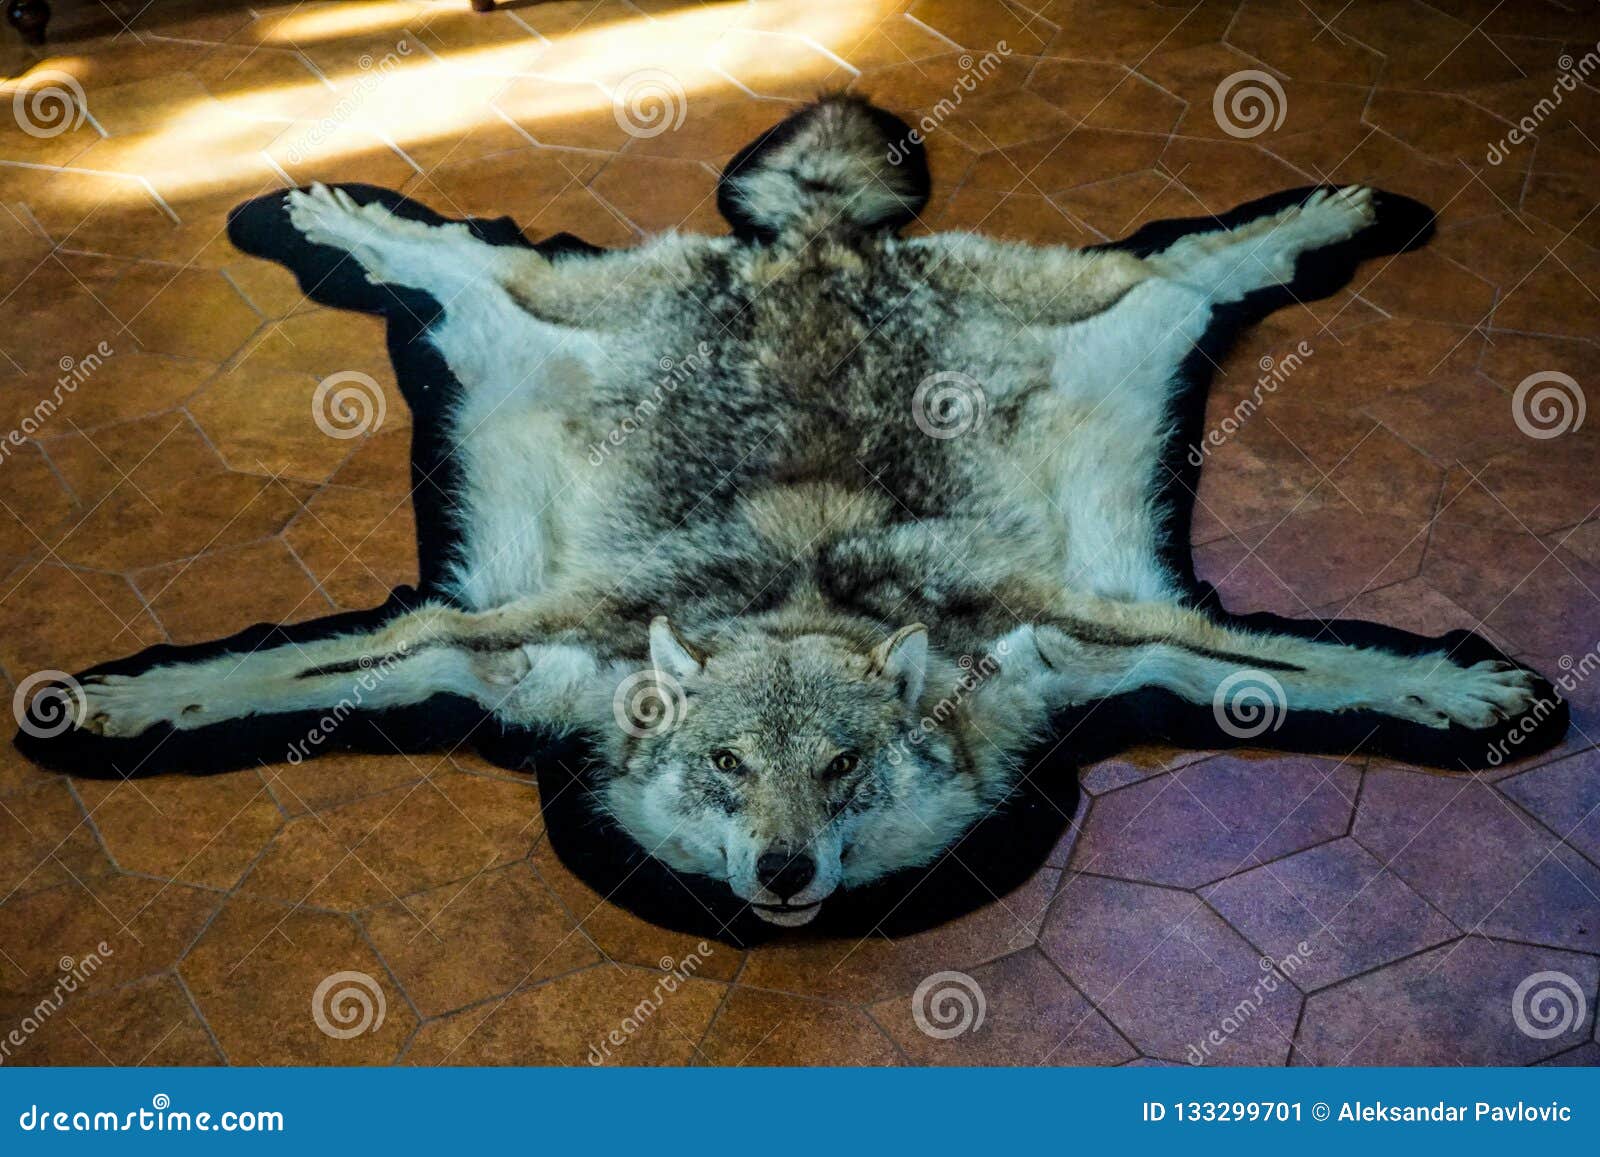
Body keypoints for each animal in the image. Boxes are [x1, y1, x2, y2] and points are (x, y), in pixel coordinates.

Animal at [63, 97, 1540, 928]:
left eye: (839, 768)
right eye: (725, 763)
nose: (778, 873)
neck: (799, 601)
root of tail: (815, 241)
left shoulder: (1100, 639)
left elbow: (1308, 665)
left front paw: (1466, 695)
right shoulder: (493, 645)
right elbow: (272, 677)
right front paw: (115, 705)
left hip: (1125, 315)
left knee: (1195, 256)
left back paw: (1330, 212)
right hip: (524, 318)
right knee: (461, 254)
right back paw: (328, 211)